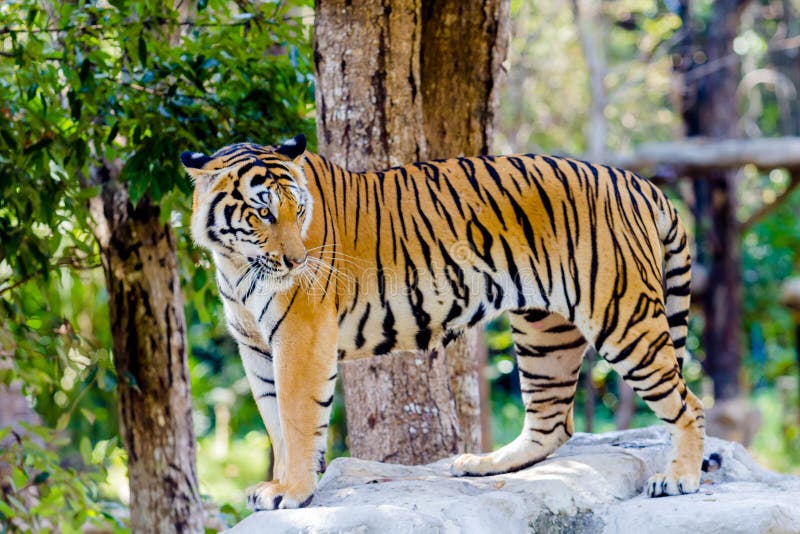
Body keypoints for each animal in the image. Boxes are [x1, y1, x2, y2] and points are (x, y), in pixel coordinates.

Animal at [181, 133, 704, 511]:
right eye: (263, 212)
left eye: (300, 210)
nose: (296, 262)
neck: (235, 261)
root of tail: (638, 182)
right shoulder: (255, 345)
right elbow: (274, 420)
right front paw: (277, 484)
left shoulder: (301, 337)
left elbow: (295, 416)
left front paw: (292, 491)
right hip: (544, 330)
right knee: (552, 421)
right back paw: (483, 464)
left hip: (622, 315)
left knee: (689, 403)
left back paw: (679, 479)